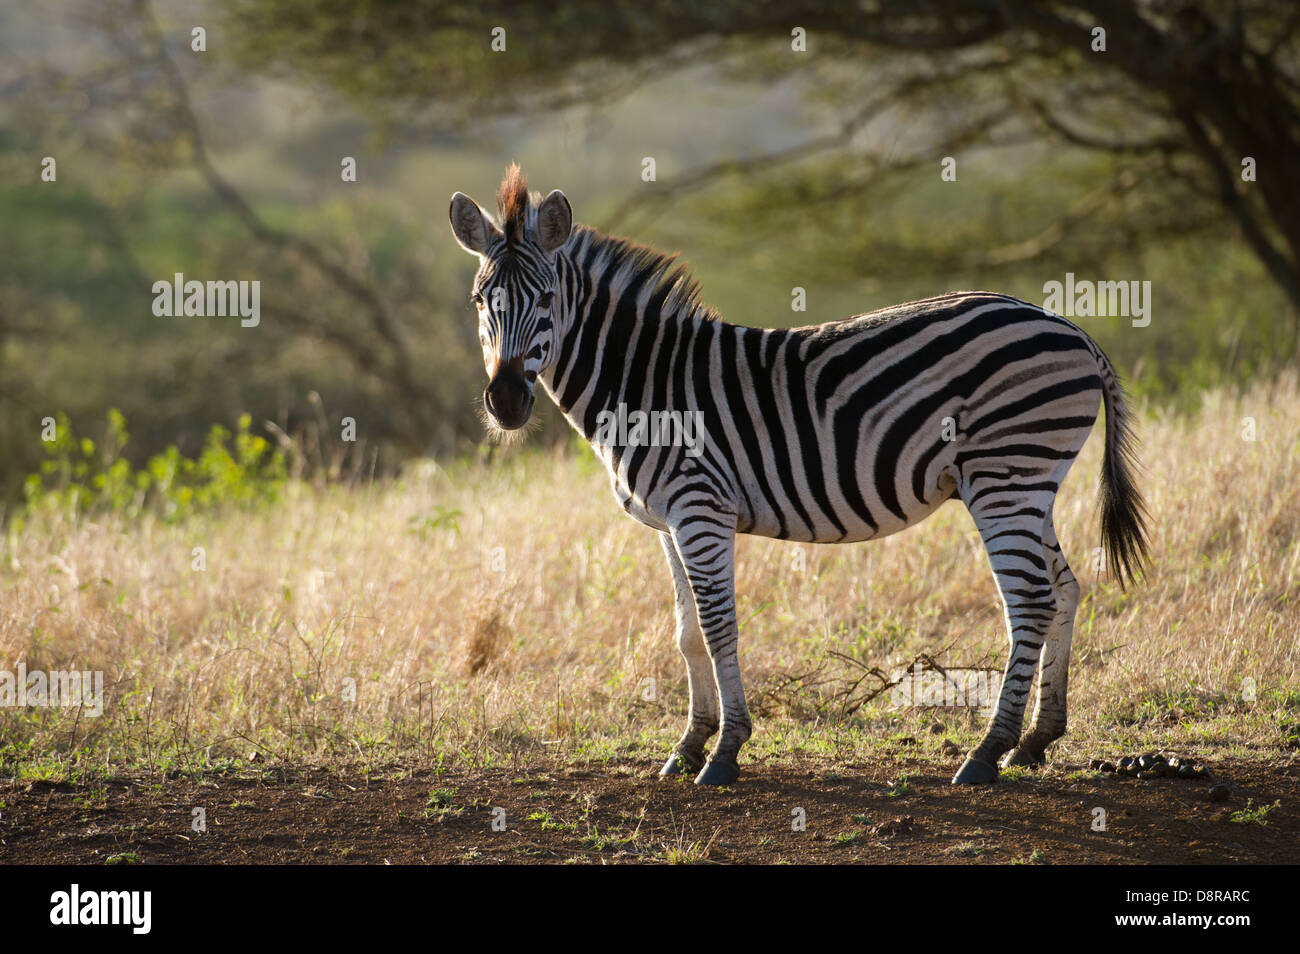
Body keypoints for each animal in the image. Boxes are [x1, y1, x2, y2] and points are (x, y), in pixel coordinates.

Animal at [449, 164, 1149, 786]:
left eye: (546, 299)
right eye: (481, 301)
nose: (505, 402)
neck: (643, 381)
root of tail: (1070, 327)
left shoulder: (700, 509)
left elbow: (717, 626)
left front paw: (725, 751)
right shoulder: (669, 523)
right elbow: (686, 634)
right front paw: (689, 745)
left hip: (1005, 475)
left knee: (1030, 598)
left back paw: (987, 752)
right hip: (1029, 484)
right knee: (1064, 588)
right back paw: (1035, 741)